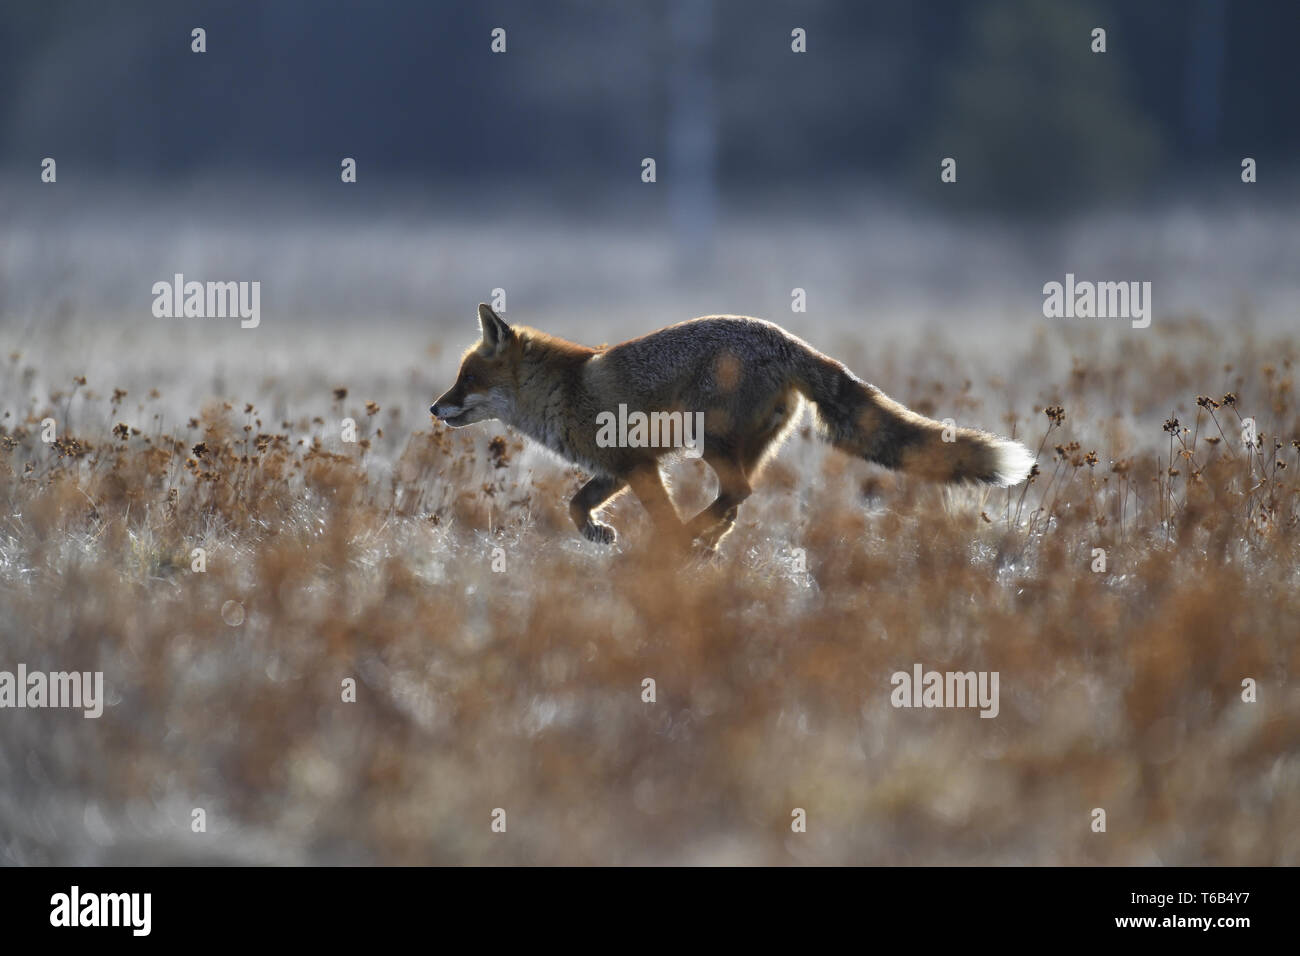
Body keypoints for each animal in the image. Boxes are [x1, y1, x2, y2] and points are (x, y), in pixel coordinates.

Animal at [431, 304, 1034, 552]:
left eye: (466, 379)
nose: (435, 408)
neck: (566, 390)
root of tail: (789, 340)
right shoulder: (620, 467)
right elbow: (576, 505)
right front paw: (598, 534)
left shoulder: (636, 464)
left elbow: (647, 510)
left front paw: (663, 548)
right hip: (743, 446)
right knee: (739, 497)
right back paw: (704, 540)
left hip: (712, 439)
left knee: (737, 493)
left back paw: (690, 540)